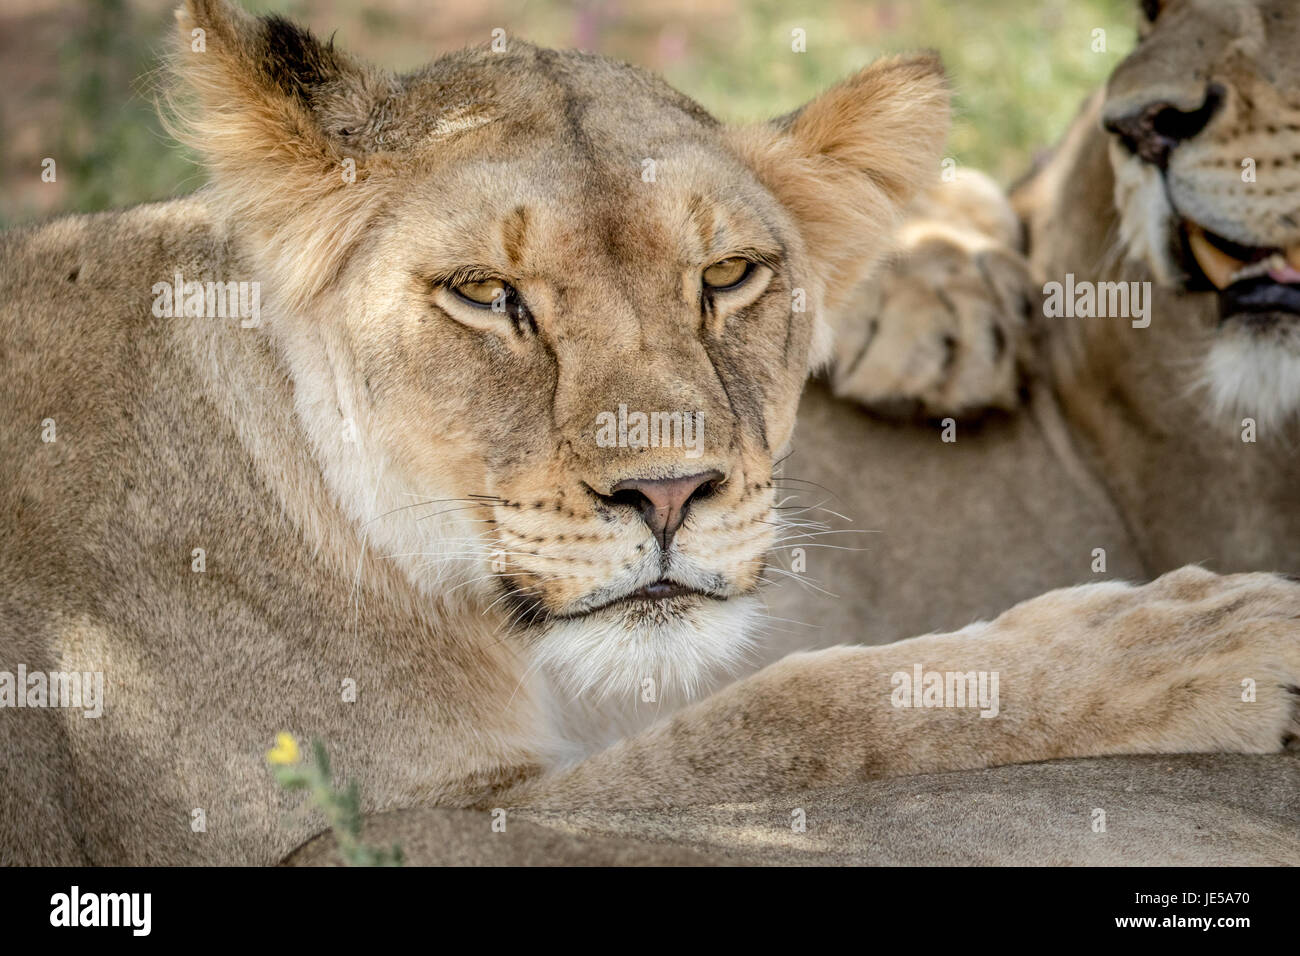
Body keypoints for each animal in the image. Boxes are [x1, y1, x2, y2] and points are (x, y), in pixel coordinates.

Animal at [0, 0, 1296, 867]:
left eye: (727, 274)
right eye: (483, 293)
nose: (669, 495)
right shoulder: (335, 833)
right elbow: (778, 717)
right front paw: (1198, 643)